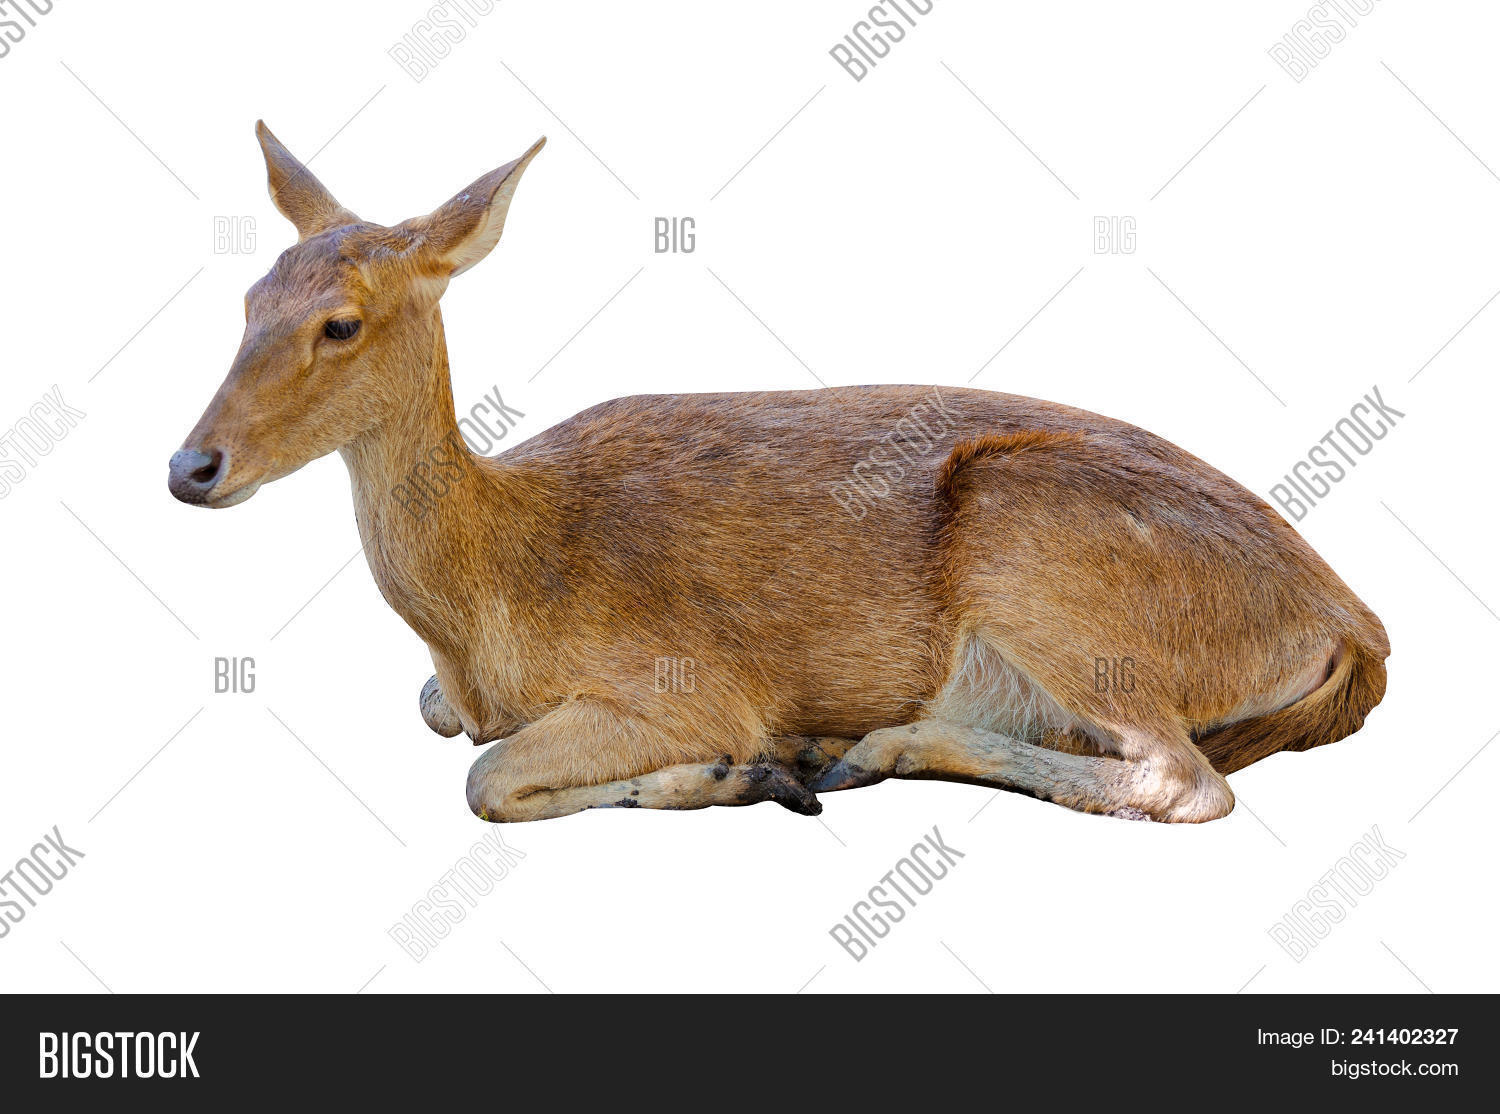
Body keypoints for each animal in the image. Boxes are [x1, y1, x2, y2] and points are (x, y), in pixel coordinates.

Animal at [168, 123, 1389, 825]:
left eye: (340, 322)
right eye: (247, 297)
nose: (190, 465)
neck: (485, 613)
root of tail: (1353, 626)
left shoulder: (682, 677)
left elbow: (486, 778)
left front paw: (740, 770)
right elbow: (442, 728)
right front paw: (753, 772)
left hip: (1040, 546)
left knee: (1188, 780)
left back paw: (860, 749)